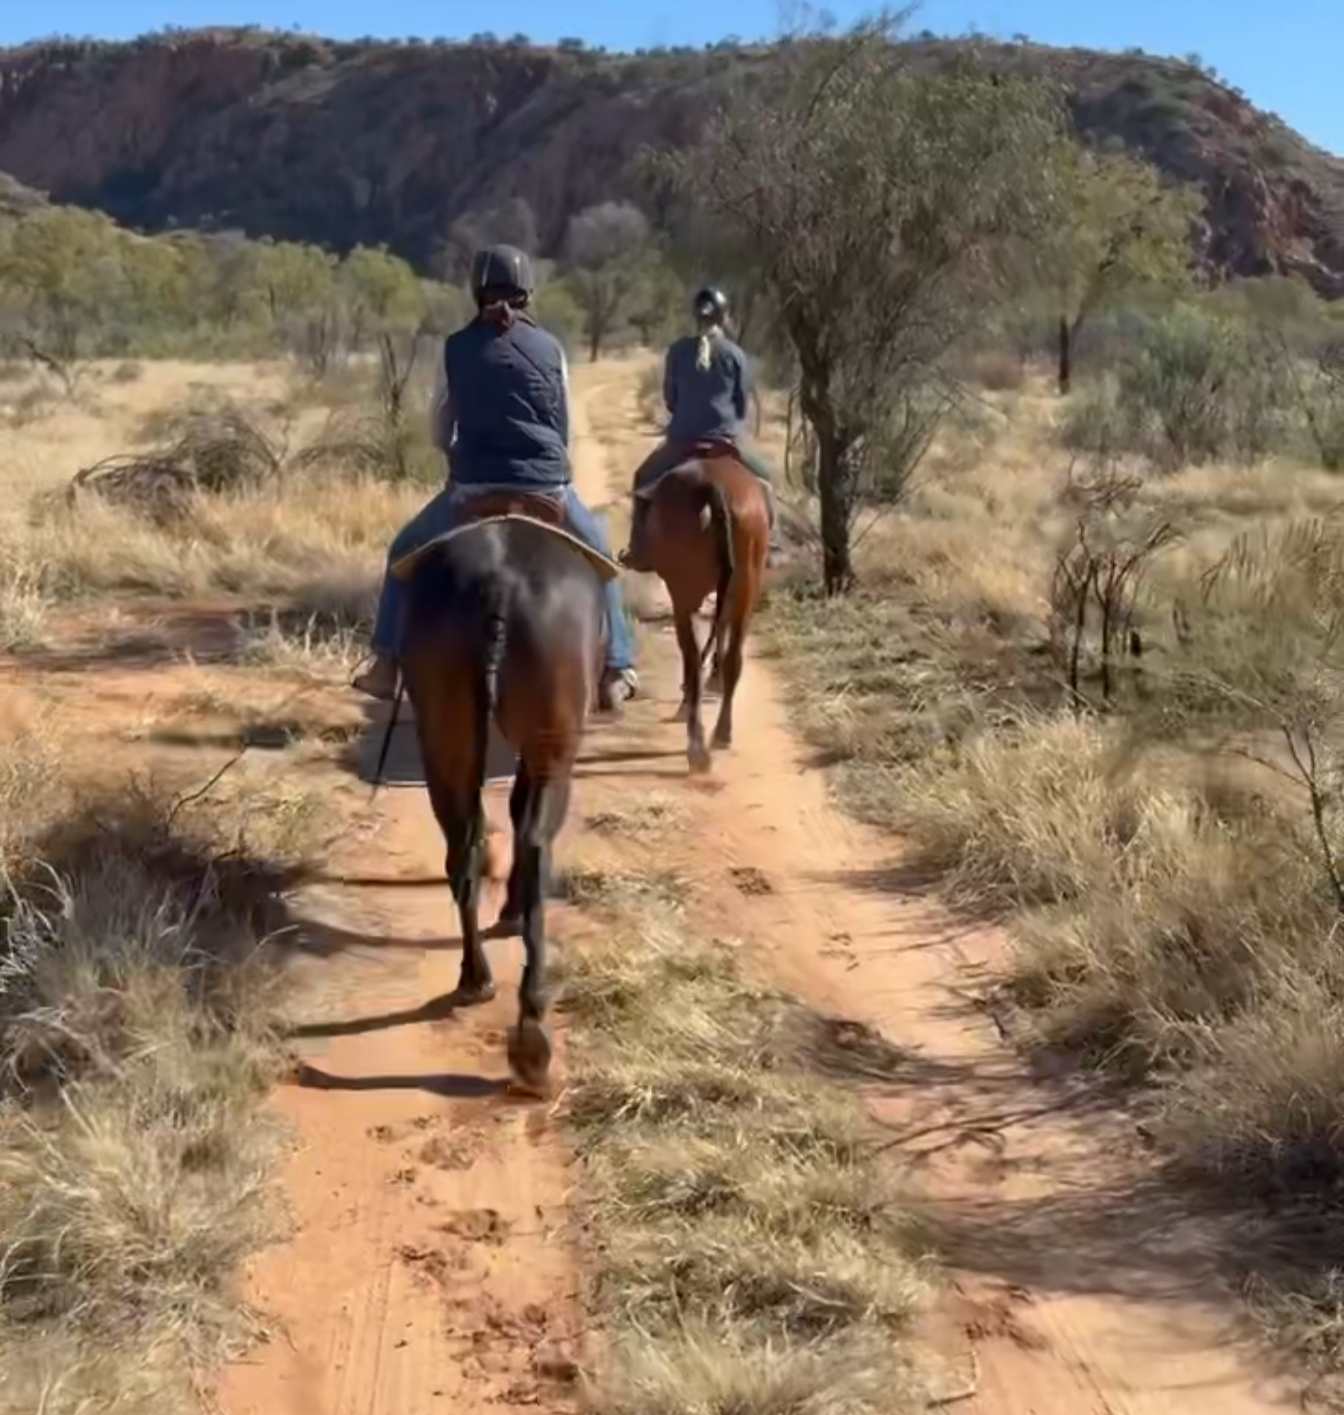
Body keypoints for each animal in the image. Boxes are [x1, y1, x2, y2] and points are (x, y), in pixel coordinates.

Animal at [389, 490, 612, 1092]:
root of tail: (498, 583)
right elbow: (518, 815)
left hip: (444, 727)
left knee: (462, 844)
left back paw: (475, 978)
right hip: (553, 741)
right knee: (534, 842)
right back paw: (532, 1032)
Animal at [639, 441, 771, 774]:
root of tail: (713, 487)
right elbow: (720, 634)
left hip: (683, 592)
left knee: (691, 653)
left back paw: (696, 742)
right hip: (746, 586)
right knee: (734, 657)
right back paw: (721, 733)